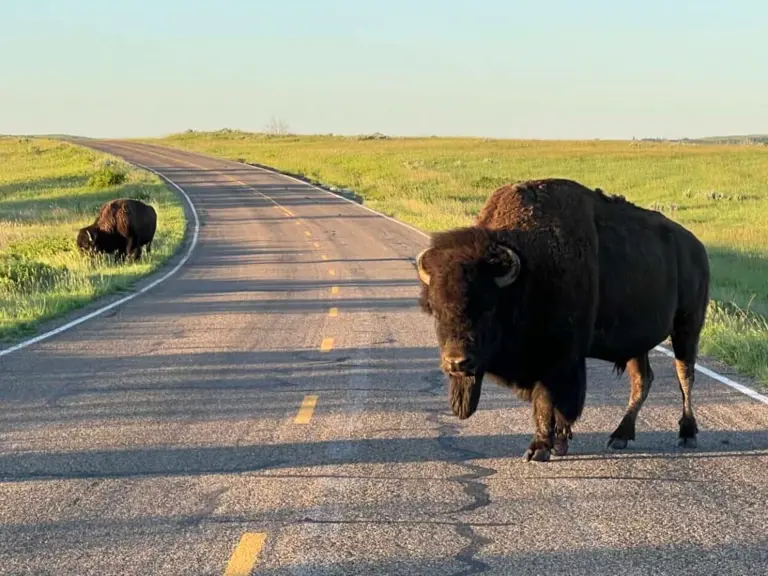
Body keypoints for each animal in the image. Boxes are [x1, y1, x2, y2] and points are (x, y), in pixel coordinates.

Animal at [416, 178, 710, 462]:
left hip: (687, 328)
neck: (528, 270)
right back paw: (620, 436)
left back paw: (687, 435)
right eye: (435, 310)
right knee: (642, 381)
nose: (457, 363)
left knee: (685, 376)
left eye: (488, 306)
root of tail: (697, 248)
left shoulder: (559, 360)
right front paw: (558, 443)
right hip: (638, 345)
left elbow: (549, 402)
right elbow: (550, 406)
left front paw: (540, 449)